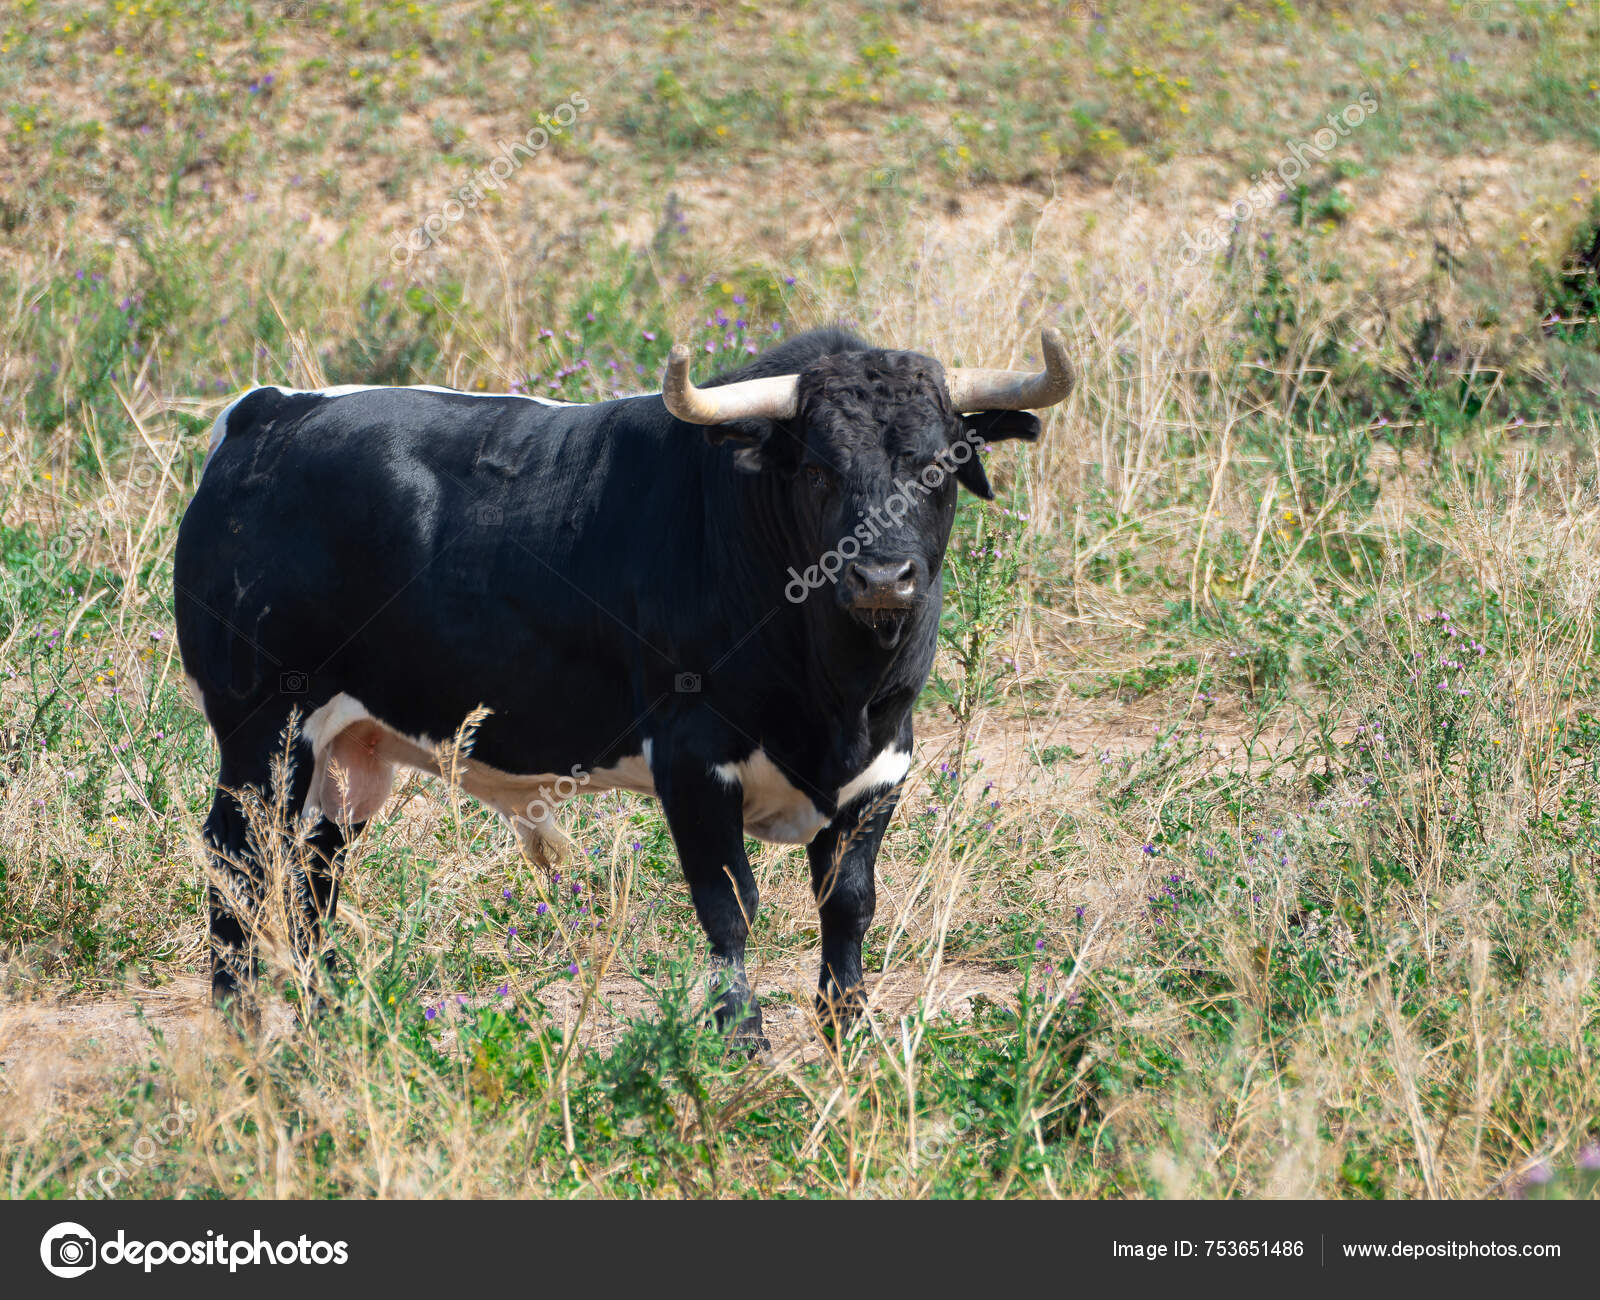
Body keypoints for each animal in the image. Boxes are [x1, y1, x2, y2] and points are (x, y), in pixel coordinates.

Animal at [174, 325, 1073, 1048]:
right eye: (819, 469)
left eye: (941, 467)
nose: (882, 576)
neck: (835, 698)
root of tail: (270, 411)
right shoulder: (693, 762)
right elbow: (730, 905)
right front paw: (742, 1044)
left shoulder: (880, 773)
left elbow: (849, 907)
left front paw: (851, 1043)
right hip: (264, 729)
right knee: (238, 865)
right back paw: (242, 1032)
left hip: (351, 756)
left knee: (313, 880)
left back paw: (330, 1028)